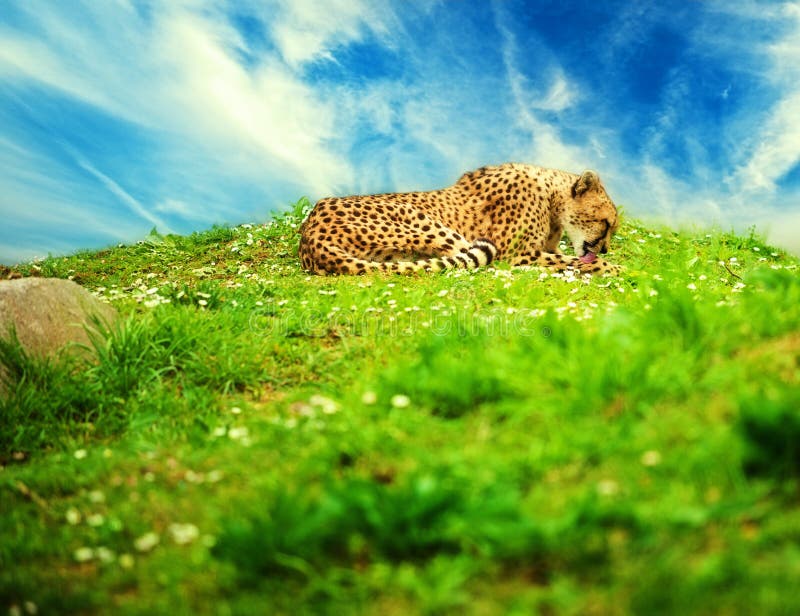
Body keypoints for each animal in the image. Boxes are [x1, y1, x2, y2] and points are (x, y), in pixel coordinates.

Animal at [298, 163, 621, 276]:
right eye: (606, 224)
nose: (605, 248)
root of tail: (309, 234)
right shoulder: (514, 254)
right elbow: (572, 260)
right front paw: (616, 268)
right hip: (423, 220)